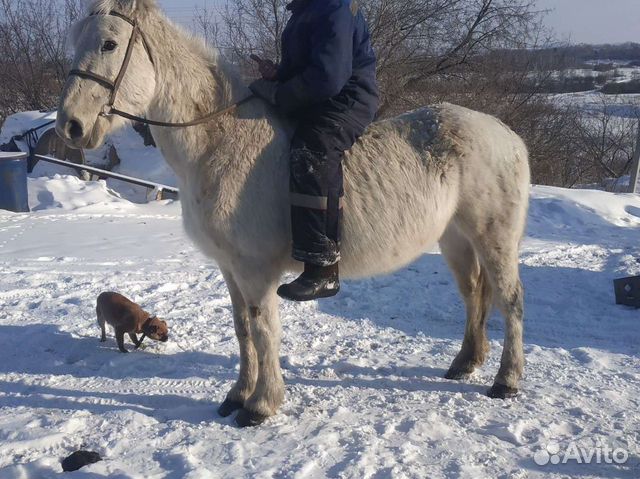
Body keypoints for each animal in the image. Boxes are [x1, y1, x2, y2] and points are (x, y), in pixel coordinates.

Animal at [56, 0, 530, 427]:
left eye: (109, 43)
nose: (70, 126)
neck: (220, 142)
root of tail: (507, 134)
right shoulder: (230, 269)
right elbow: (242, 330)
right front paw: (237, 395)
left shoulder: (256, 271)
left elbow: (264, 331)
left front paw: (260, 406)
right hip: (455, 239)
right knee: (474, 295)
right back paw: (465, 363)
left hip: (494, 238)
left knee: (509, 300)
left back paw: (507, 381)